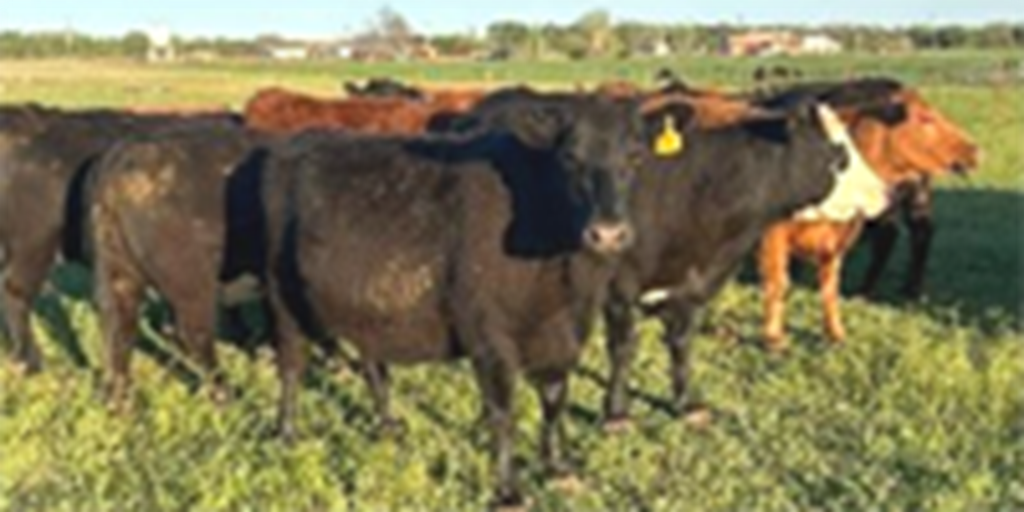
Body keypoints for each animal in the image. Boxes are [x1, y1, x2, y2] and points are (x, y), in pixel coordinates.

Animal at [261, 93, 686, 508]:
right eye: (569, 157)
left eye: (636, 156)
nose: (608, 233)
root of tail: (297, 140)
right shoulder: (488, 335)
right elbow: (502, 411)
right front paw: (508, 491)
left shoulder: (564, 333)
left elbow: (554, 399)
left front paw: (558, 467)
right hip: (284, 299)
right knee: (291, 367)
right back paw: (287, 432)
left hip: (369, 306)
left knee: (374, 366)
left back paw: (388, 425)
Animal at [756, 79, 980, 351]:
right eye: (926, 118)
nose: (975, 150)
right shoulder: (774, 233)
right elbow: (778, 282)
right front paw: (773, 337)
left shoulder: (838, 235)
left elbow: (829, 286)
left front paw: (835, 333)